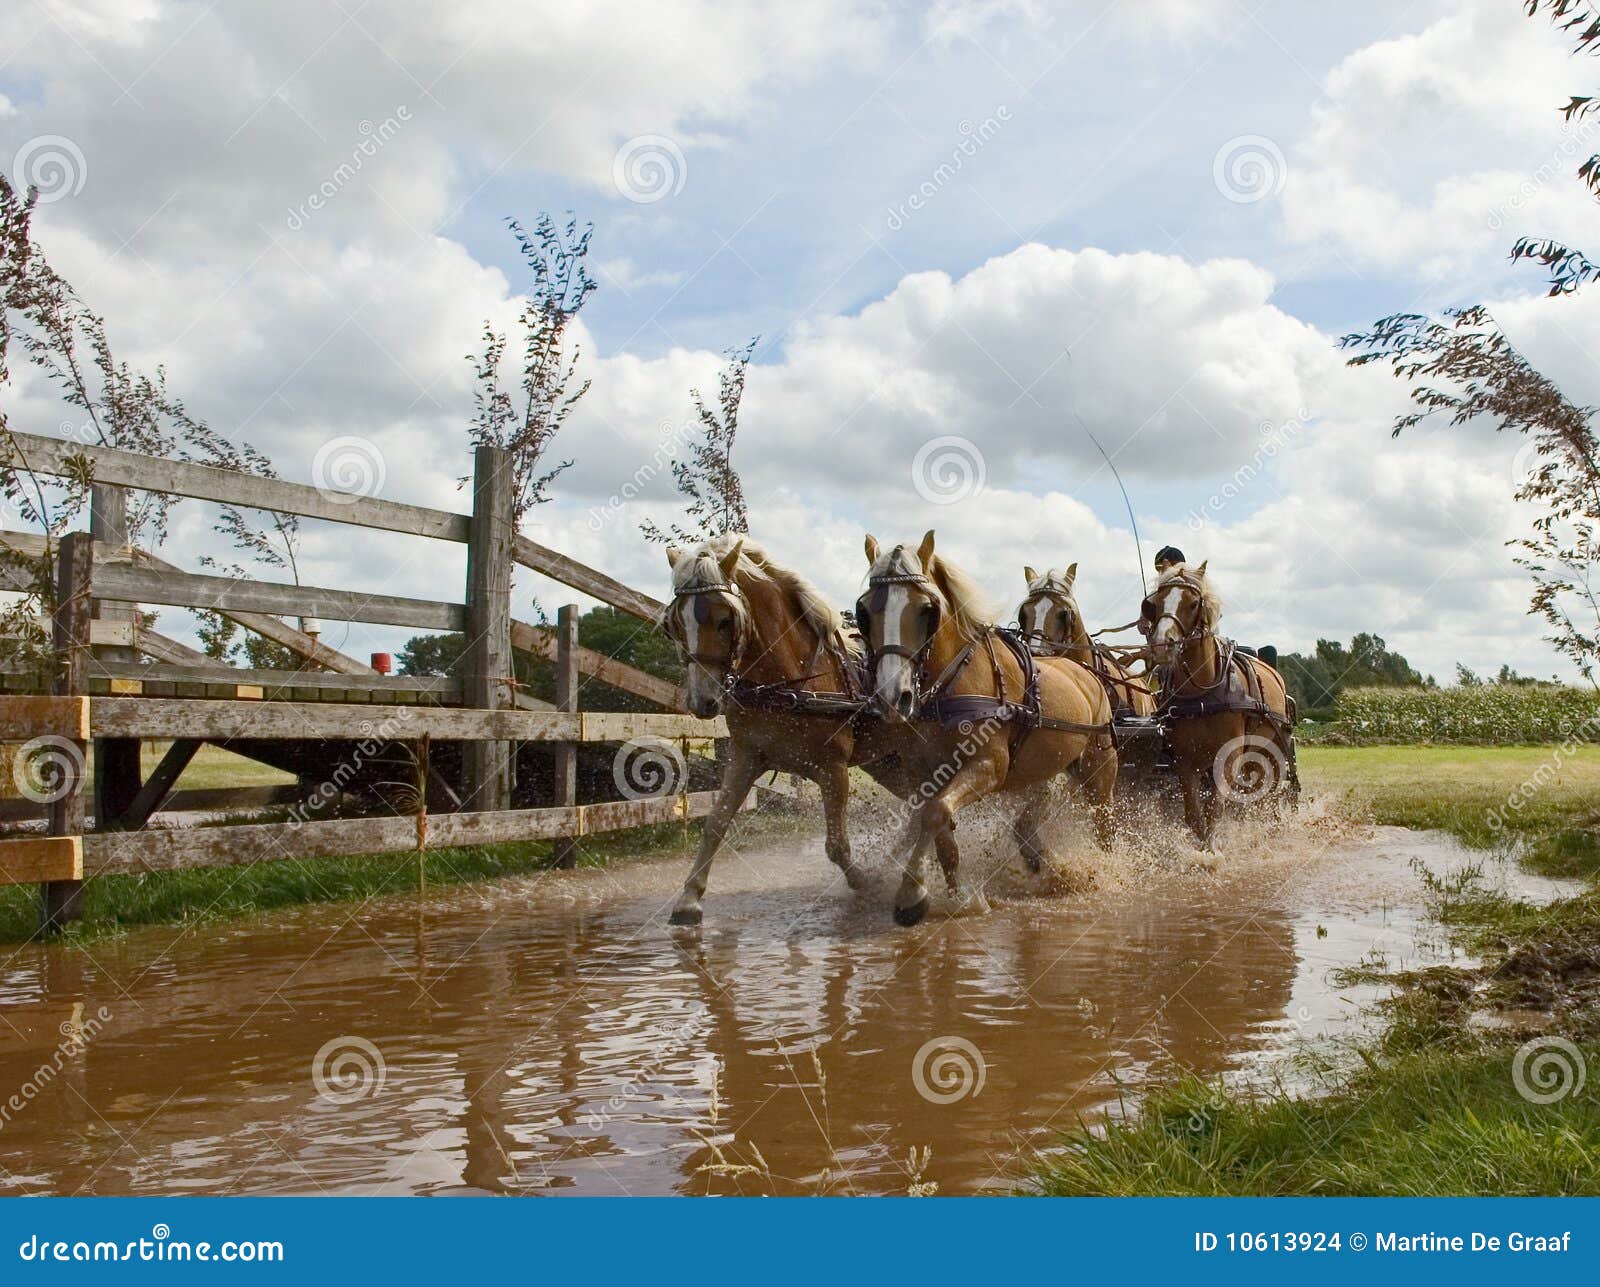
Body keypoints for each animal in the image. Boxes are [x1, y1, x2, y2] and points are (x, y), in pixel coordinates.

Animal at [658, 535, 962, 926]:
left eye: (725, 619)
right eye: (673, 624)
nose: (702, 699)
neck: (788, 680)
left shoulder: (832, 770)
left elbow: (837, 846)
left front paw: (864, 881)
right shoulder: (745, 757)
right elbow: (715, 823)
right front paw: (689, 900)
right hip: (888, 764)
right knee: (917, 810)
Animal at [857, 531, 1119, 927]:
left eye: (926, 609)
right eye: (865, 610)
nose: (892, 696)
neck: (951, 686)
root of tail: (1085, 671)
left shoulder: (988, 766)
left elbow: (935, 812)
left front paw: (911, 895)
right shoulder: (923, 772)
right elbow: (939, 828)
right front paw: (957, 895)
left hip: (1098, 766)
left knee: (1104, 822)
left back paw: (1104, 869)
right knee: (1030, 818)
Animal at [1137, 561, 1298, 844]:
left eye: (1193, 603)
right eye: (1154, 604)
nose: (1161, 645)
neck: (1203, 695)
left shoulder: (1229, 756)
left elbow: (1216, 808)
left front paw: (1215, 849)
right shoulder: (1185, 760)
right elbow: (1194, 814)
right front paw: (1203, 847)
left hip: (1272, 752)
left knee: (1263, 798)